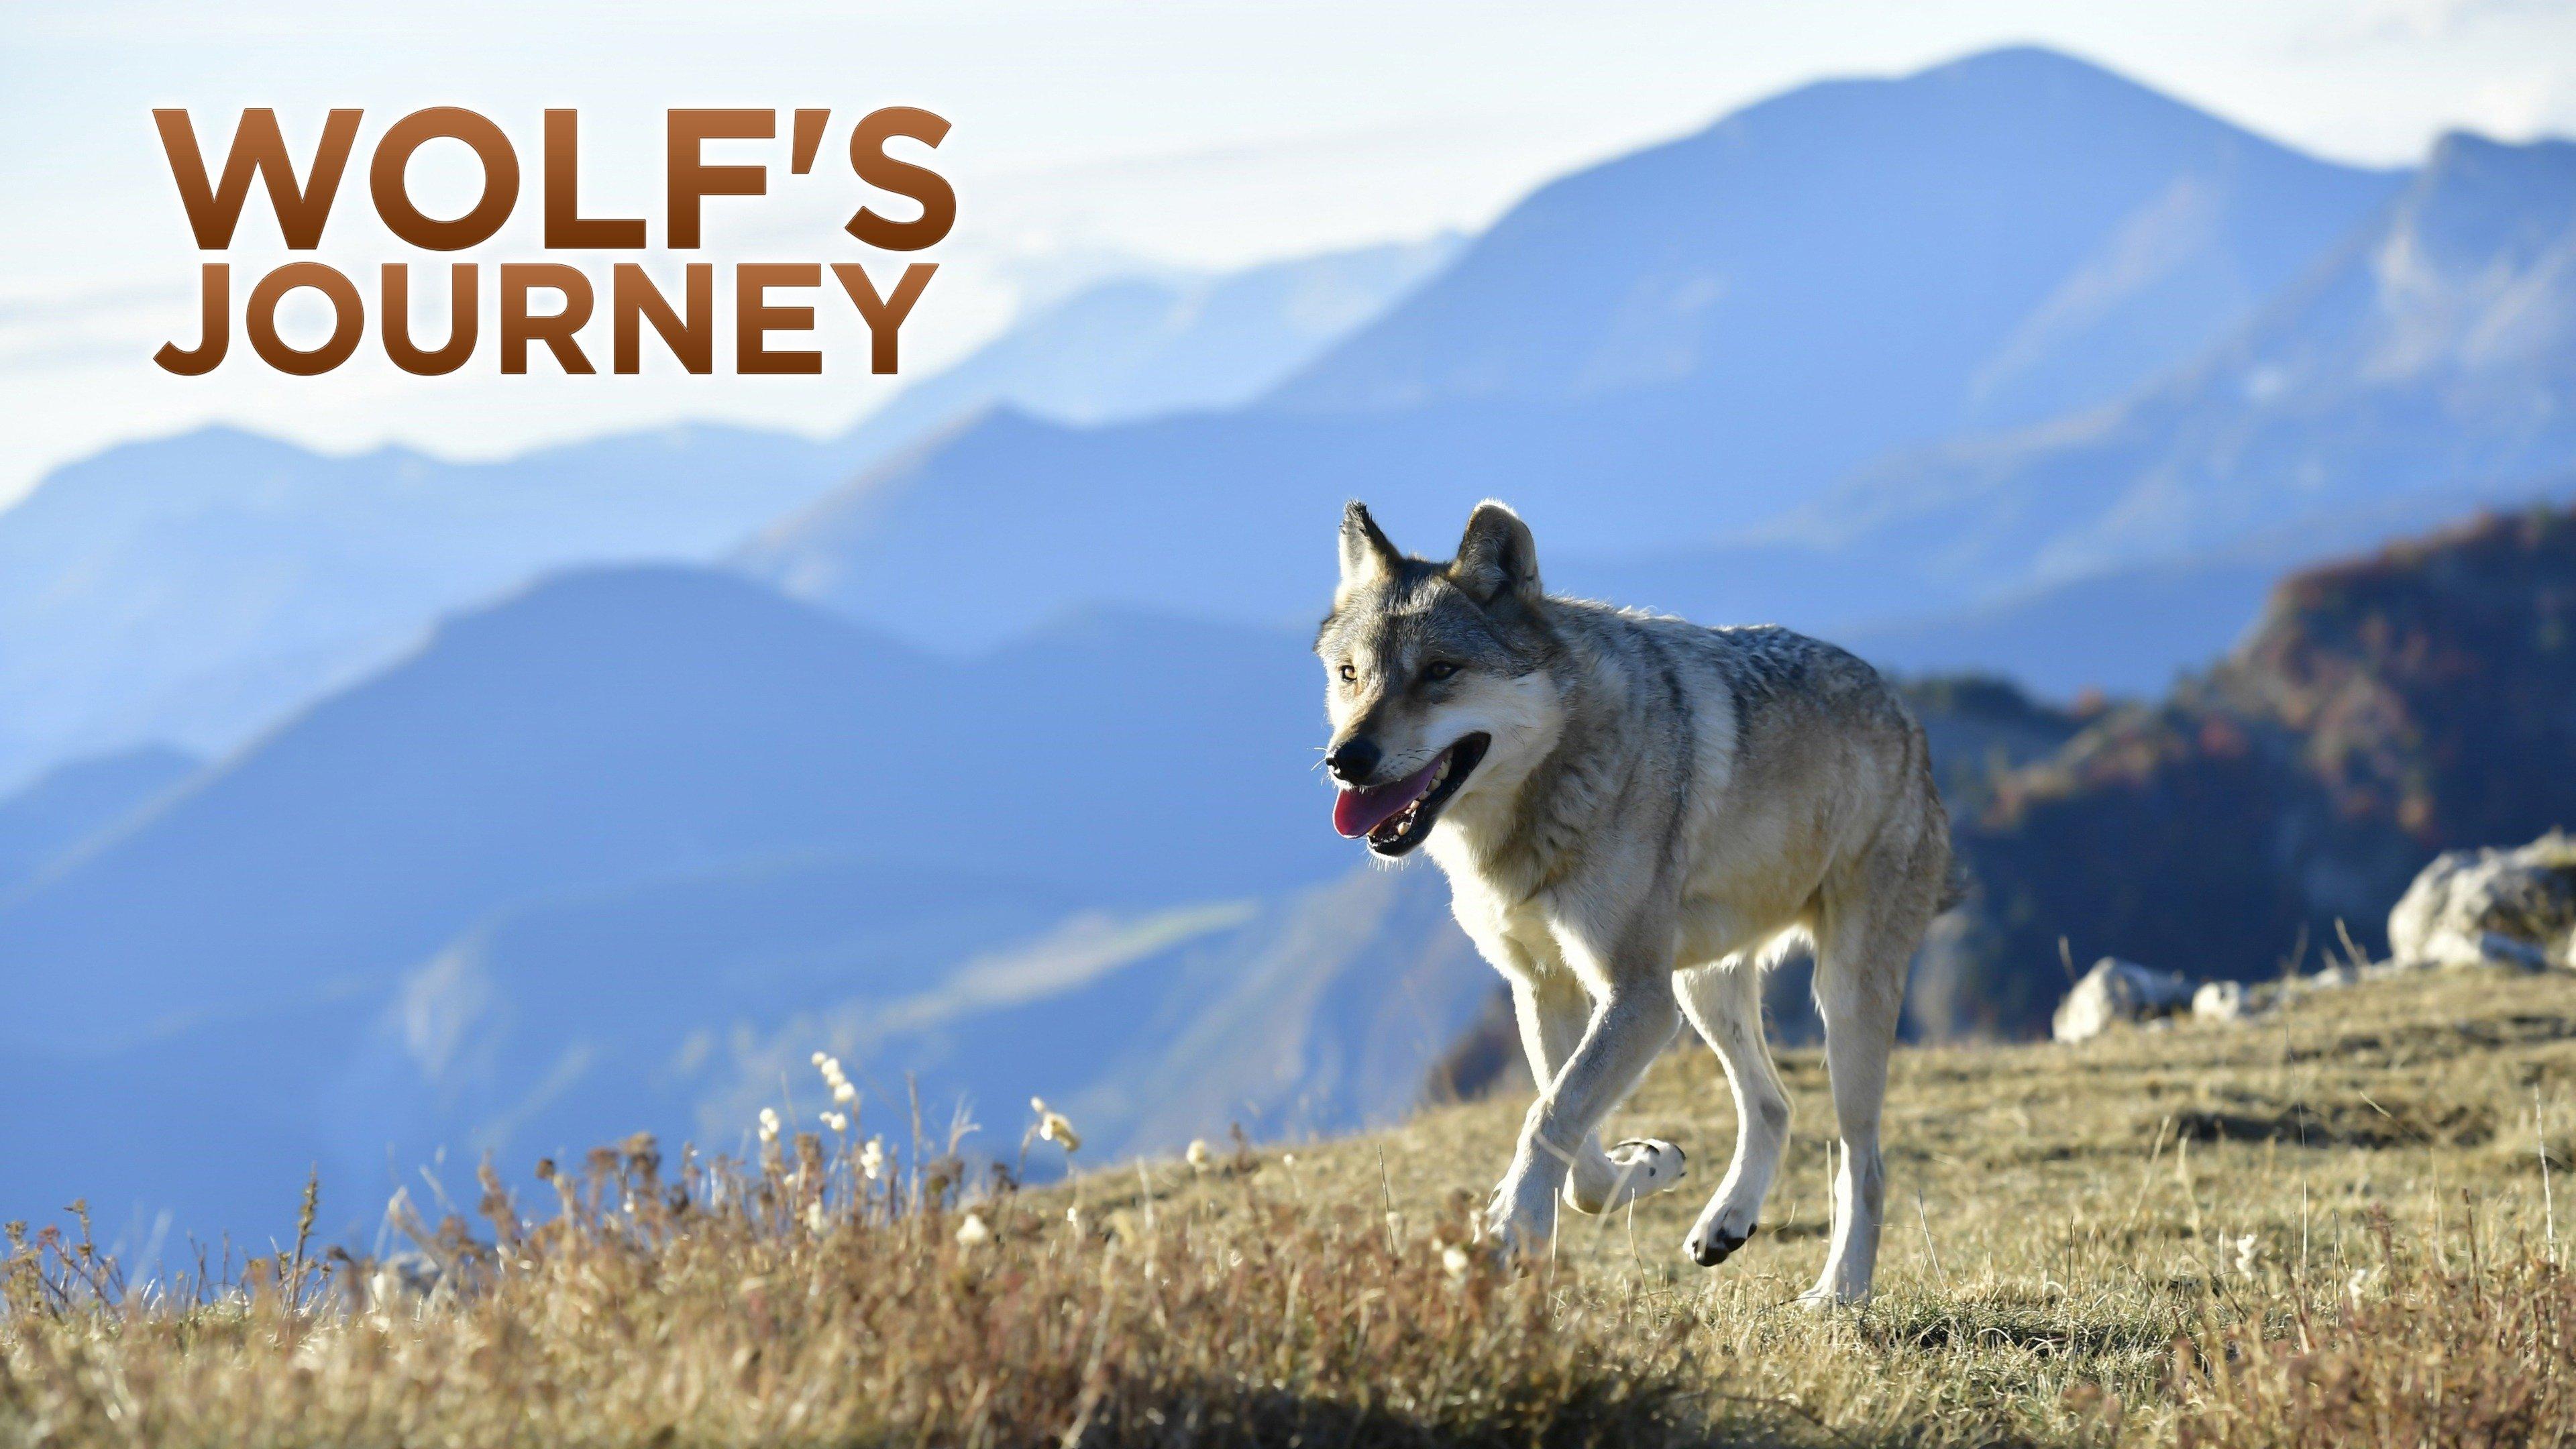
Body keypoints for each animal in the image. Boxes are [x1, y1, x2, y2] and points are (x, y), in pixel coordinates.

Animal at [1316, 499, 1955, 1304]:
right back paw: (1727, 1223)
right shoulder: (1547, 988)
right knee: (1775, 1108)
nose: (1345, 760)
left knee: (1862, 1162)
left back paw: (1838, 1293)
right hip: (1702, 991)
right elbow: (1572, 1147)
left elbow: (1547, 1114)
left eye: (1439, 672)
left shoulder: (1636, 997)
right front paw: (1646, 1165)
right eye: (1351, 675)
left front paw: (1504, 1237)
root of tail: (1906, 716)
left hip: (1837, 998)